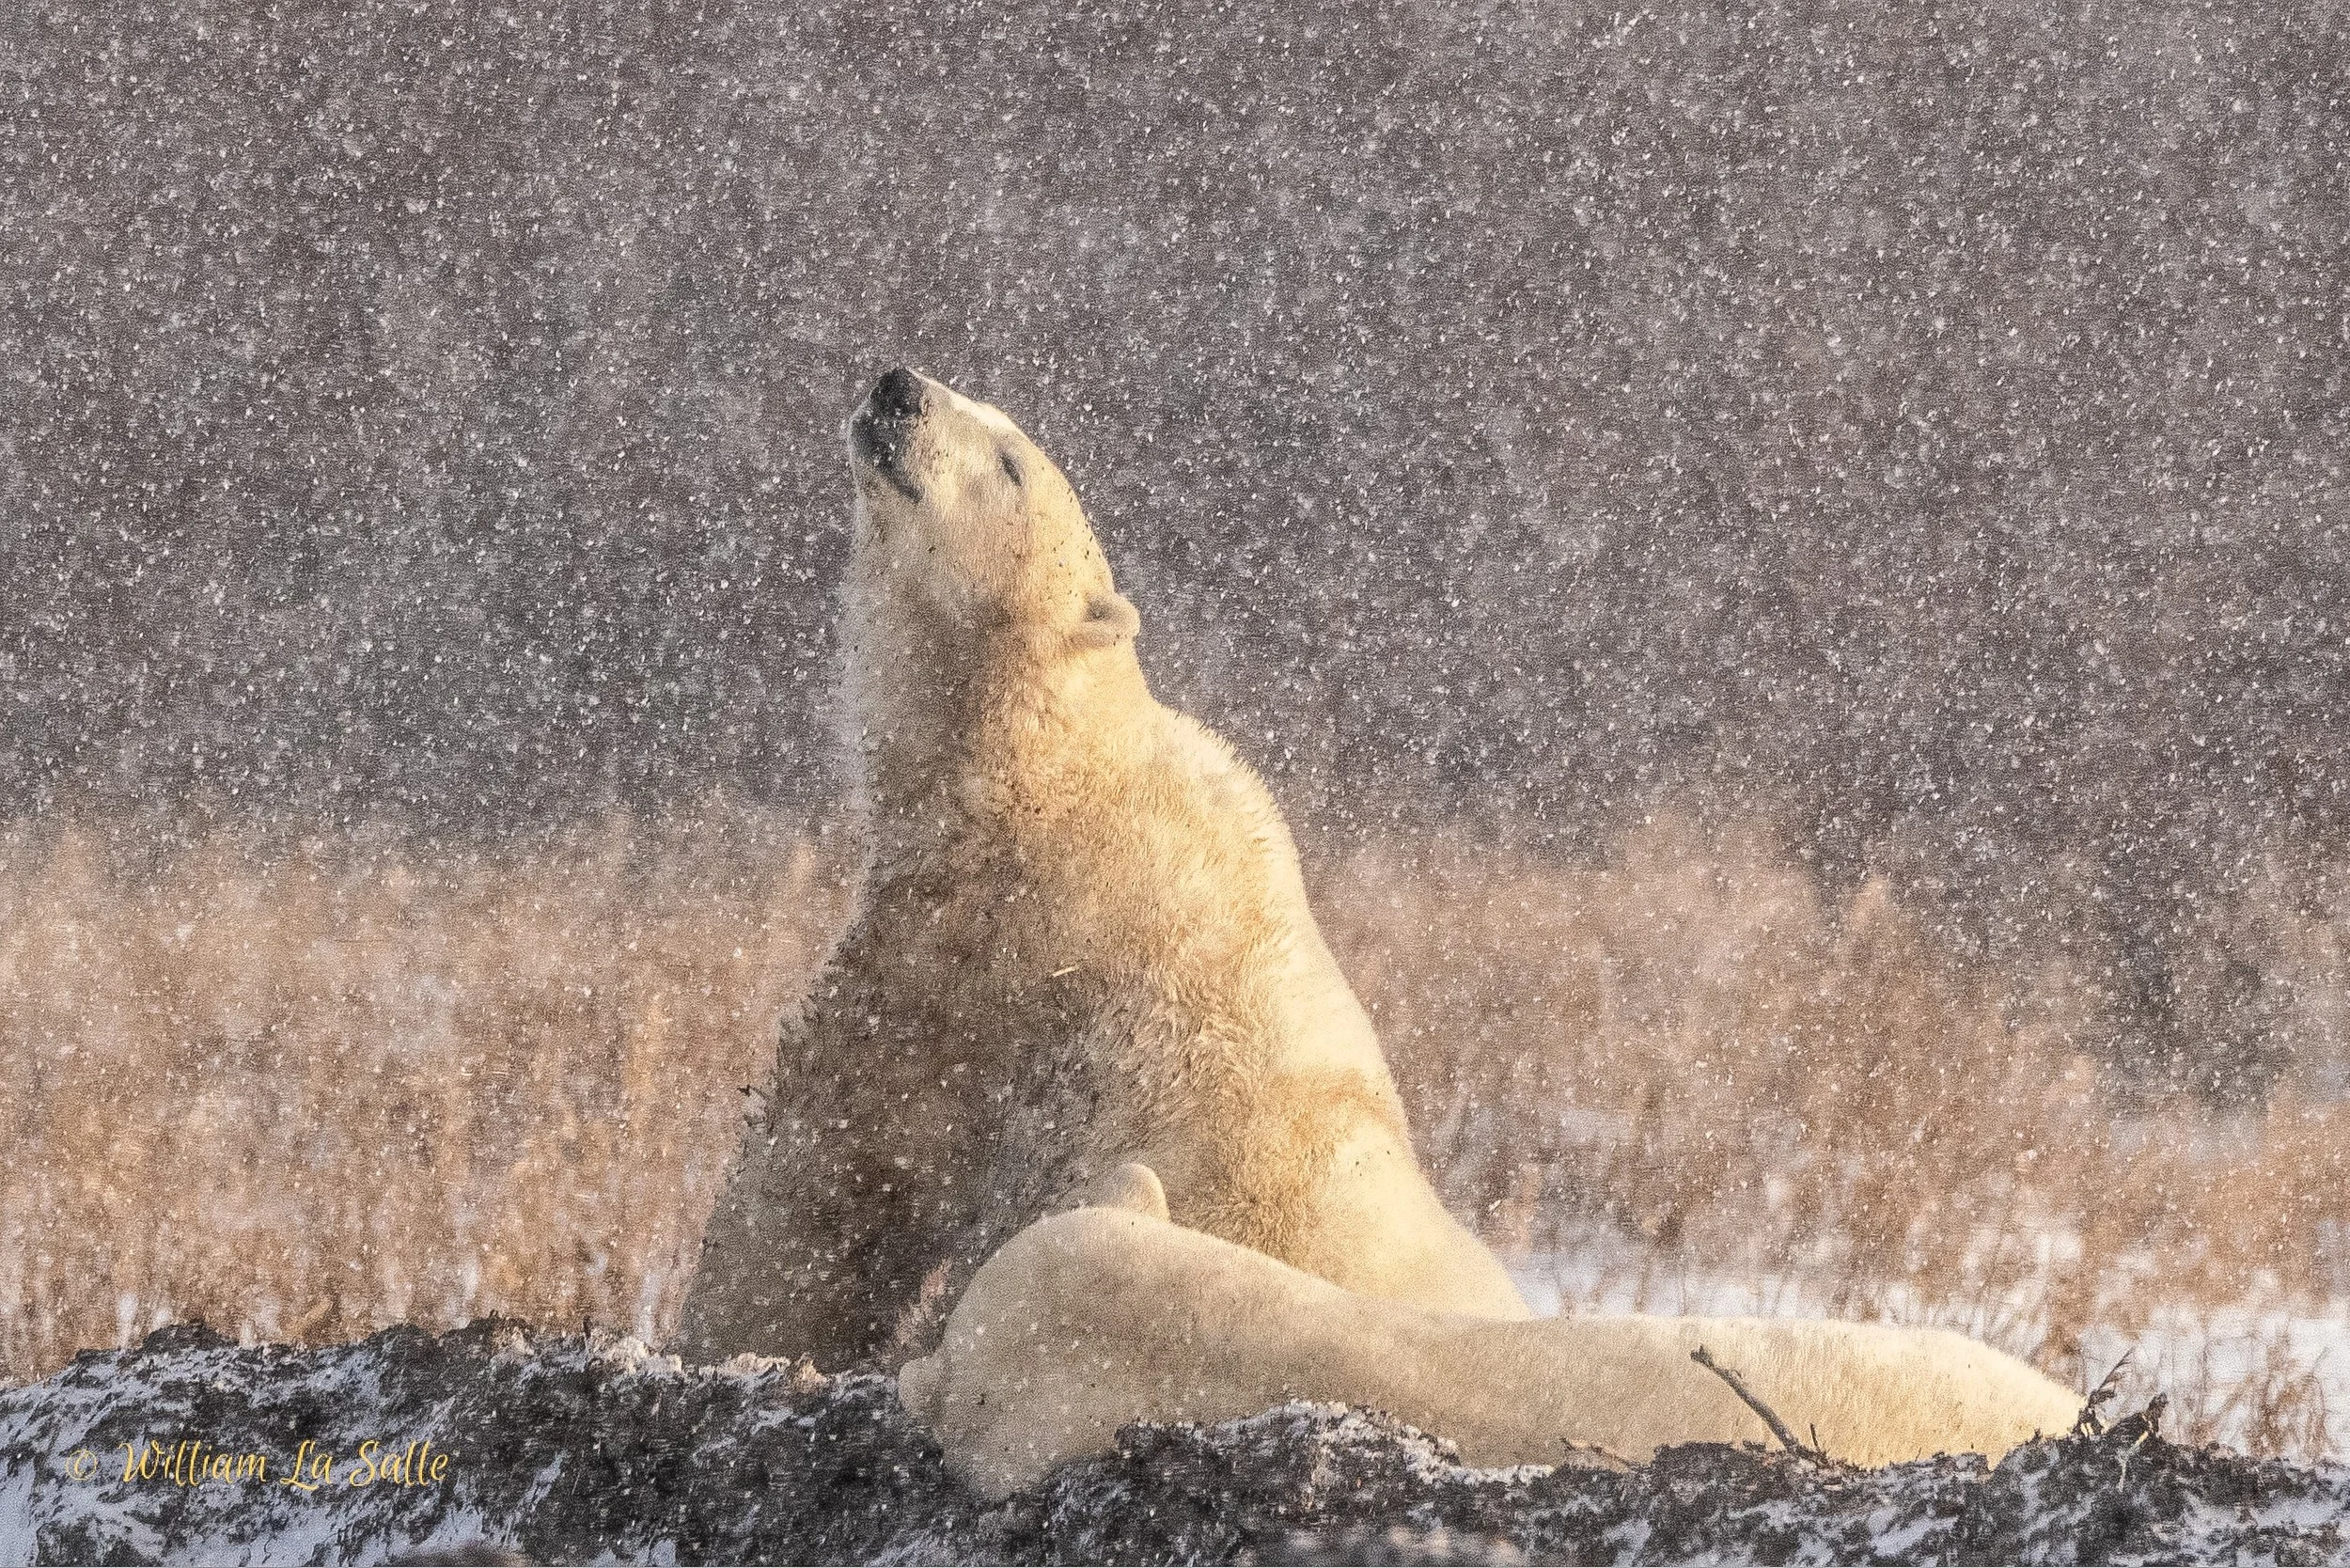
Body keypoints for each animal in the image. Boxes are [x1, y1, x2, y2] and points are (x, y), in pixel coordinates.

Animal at [674, 368, 1526, 1371]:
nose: (900, 386)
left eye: (1009, 458)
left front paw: (731, 1333)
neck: (1046, 766)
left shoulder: (985, 954)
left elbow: (838, 1157)